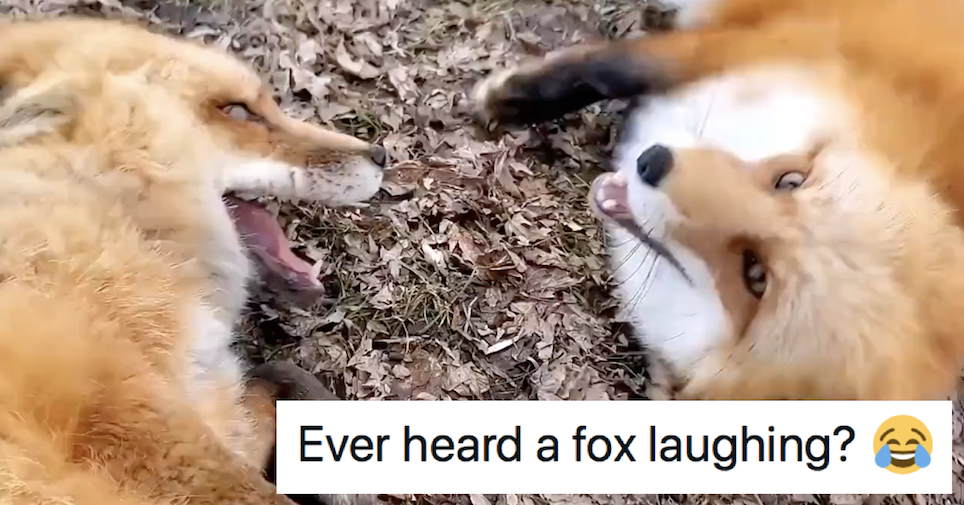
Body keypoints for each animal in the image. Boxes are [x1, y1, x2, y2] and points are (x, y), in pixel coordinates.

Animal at [472, 0, 964, 401]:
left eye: (755, 276)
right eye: (790, 180)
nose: (653, 161)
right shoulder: (767, 45)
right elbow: (613, 69)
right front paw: (510, 96)